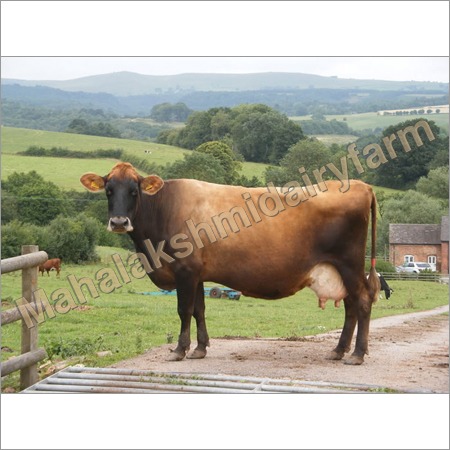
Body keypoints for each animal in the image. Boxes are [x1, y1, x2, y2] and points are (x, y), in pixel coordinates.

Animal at [80, 162, 380, 365]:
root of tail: (361, 185)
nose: (119, 222)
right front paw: (200, 348)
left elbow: (183, 310)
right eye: (108, 190)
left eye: (134, 191)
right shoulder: (197, 274)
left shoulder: (184, 271)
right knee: (351, 306)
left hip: (350, 265)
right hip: (340, 269)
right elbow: (199, 310)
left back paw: (356, 354)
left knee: (363, 302)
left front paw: (179, 350)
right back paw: (338, 350)